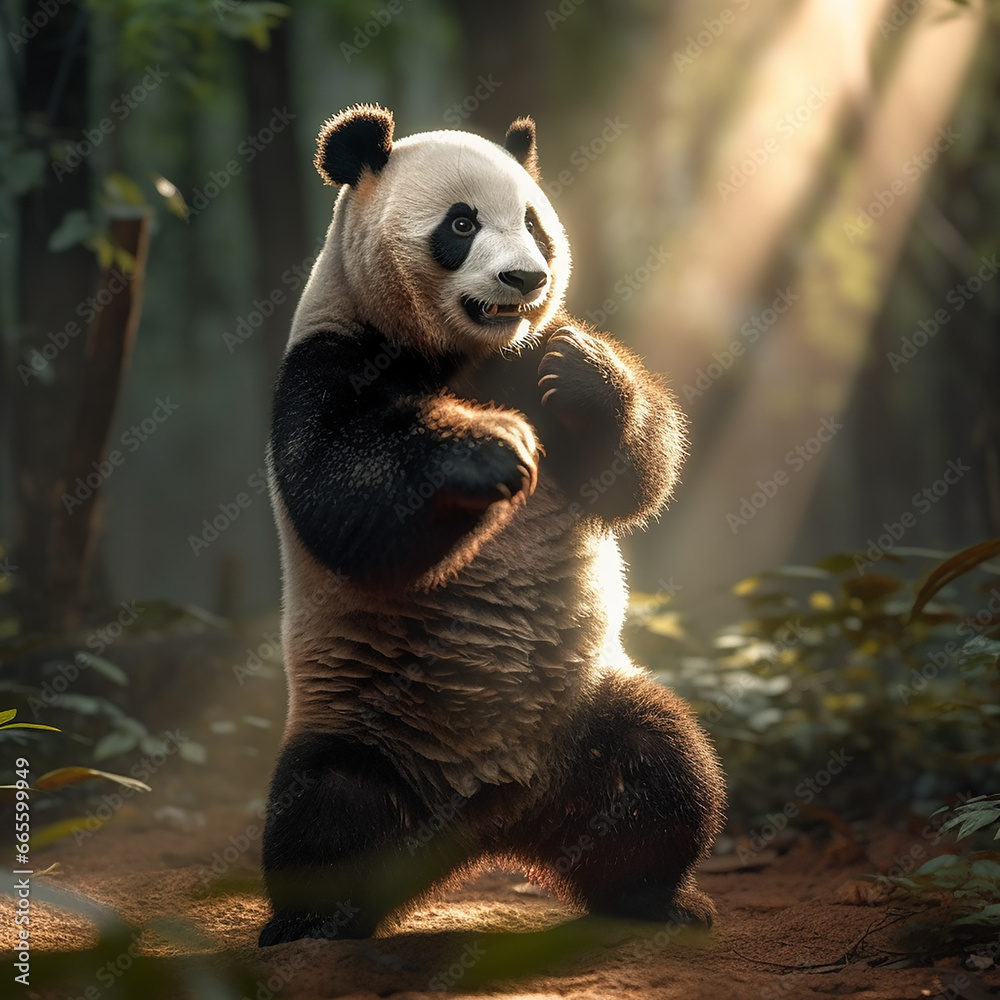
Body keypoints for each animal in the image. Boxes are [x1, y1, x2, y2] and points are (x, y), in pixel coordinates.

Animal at [259, 103, 725, 947]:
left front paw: (584, 371)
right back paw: (312, 922)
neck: (467, 353)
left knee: (663, 772)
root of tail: (489, 819)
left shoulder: (525, 358)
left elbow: (634, 473)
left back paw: (657, 896)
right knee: (327, 815)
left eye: (535, 225)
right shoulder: (333, 355)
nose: (526, 280)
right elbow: (342, 497)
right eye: (462, 223)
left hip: (583, 712)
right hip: (366, 720)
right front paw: (486, 453)